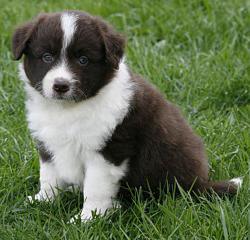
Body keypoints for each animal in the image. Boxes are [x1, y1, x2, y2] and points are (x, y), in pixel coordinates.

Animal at [12, 10, 242, 221]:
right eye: (47, 57)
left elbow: (95, 188)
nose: (60, 85)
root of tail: (201, 183)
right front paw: (43, 201)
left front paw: (88, 219)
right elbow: (49, 176)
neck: (69, 109)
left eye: (83, 60)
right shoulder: (48, 142)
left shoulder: (108, 151)